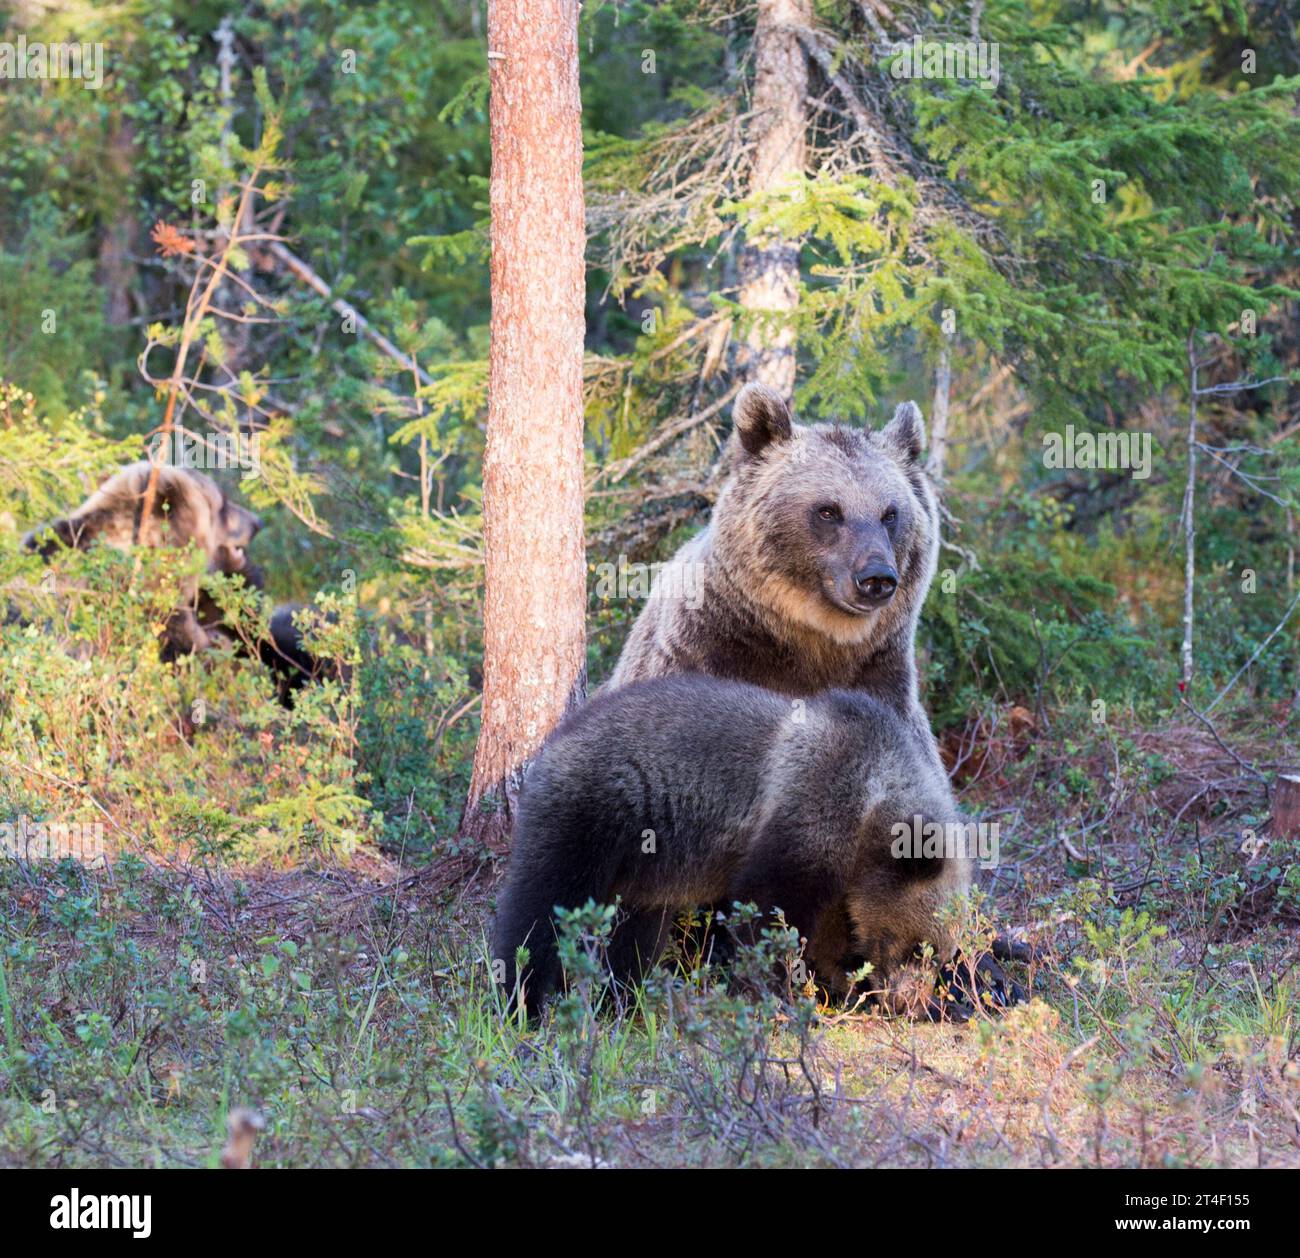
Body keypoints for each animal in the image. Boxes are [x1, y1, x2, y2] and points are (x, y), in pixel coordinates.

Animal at [491, 675, 987, 1021]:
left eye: (942, 955)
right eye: (919, 948)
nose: (909, 1003)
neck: (871, 805)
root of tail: (549, 747)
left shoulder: (842, 870)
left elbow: (829, 930)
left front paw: (844, 985)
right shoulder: (809, 809)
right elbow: (766, 910)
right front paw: (775, 994)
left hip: (644, 870)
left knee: (634, 936)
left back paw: (622, 1003)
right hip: (592, 814)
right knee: (539, 909)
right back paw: (520, 1003)